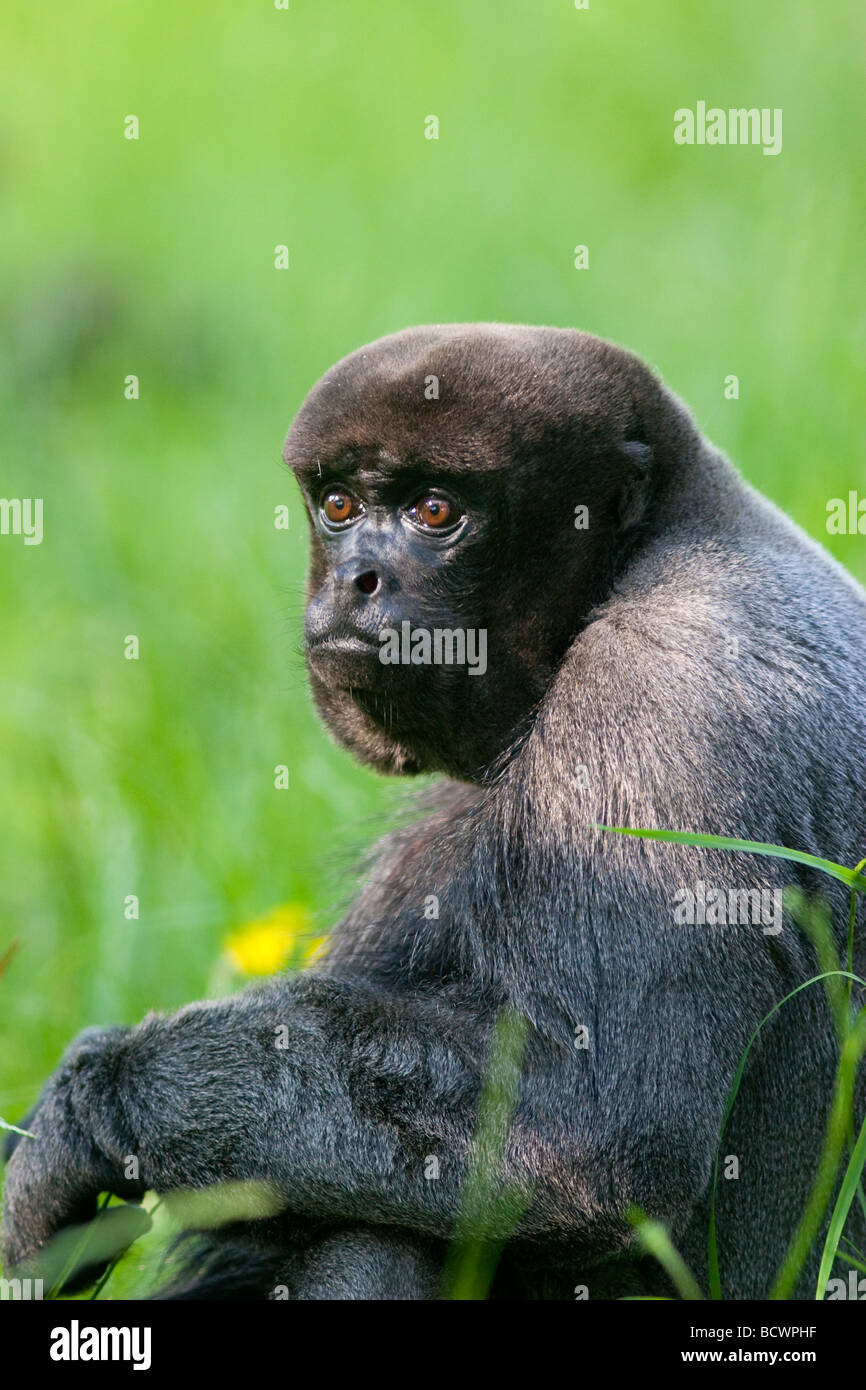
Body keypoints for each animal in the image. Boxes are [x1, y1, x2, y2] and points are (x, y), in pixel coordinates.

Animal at [3, 323, 866, 1300]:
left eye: (436, 513)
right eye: (338, 505)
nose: (355, 578)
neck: (665, 536)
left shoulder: (665, 705)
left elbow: (596, 1131)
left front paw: (90, 1102)